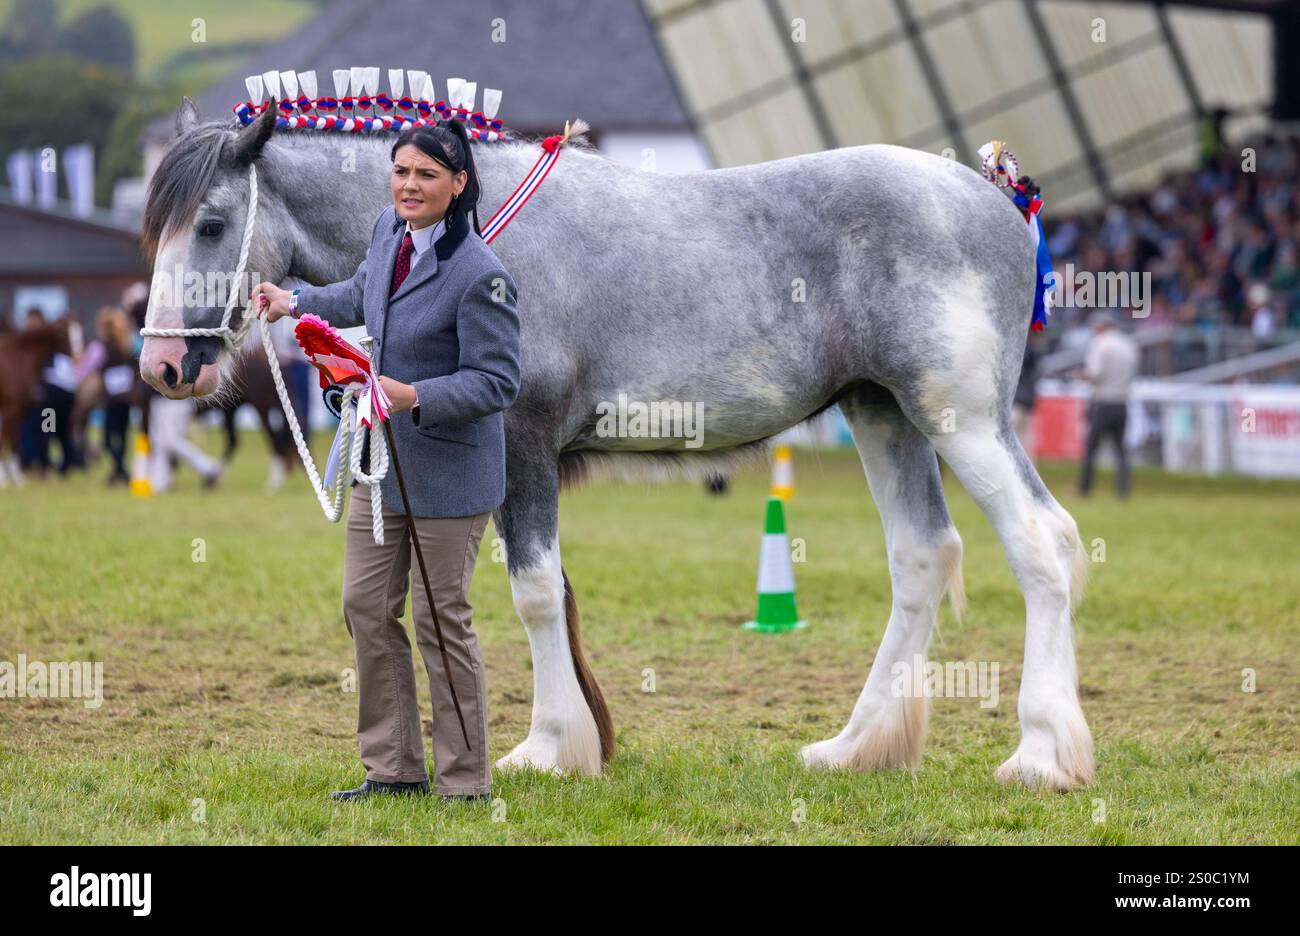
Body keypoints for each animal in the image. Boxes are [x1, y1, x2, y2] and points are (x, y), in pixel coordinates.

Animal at [138, 96, 1092, 791]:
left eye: (212, 223)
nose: (161, 366)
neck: (475, 226)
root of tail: (993, 195)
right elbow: (551, 593)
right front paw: (581, 740)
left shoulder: (519, 441)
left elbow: (532, 596)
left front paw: (548, 749)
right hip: (885, 414)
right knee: (923, 558)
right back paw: (856, 747)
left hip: (961, 420)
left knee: (1042, 544)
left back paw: (1043, 755)